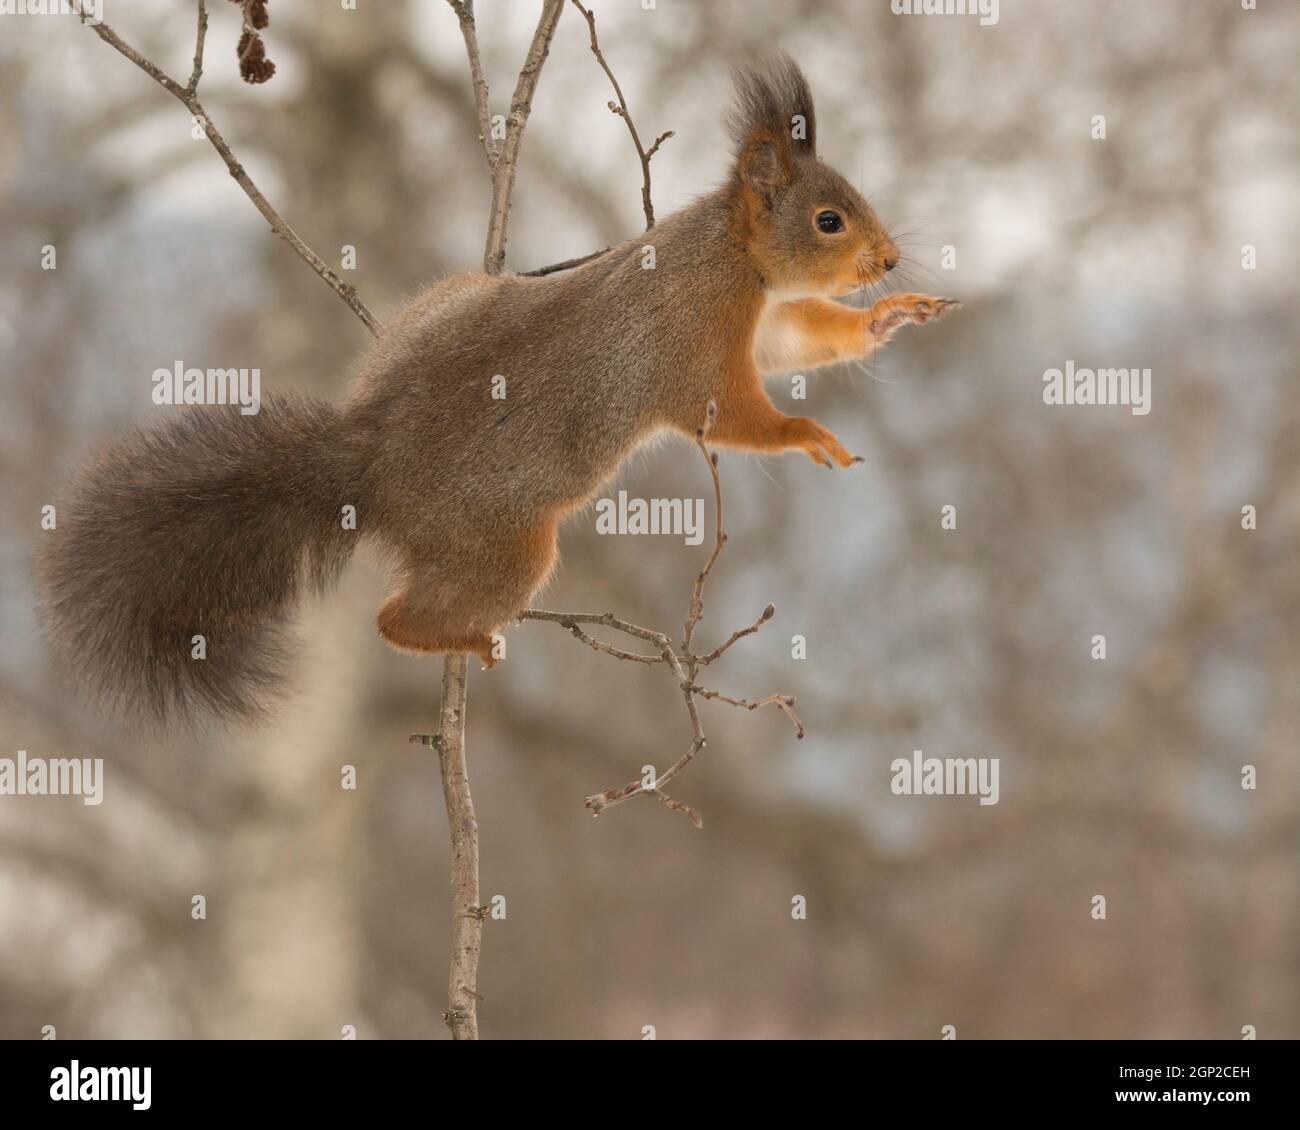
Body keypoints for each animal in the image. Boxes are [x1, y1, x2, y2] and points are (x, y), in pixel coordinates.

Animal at [37, 54, 957, 725]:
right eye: (828, 220)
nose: (888, 261)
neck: (730, 254)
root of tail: (369, 465)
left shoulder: (762, 320)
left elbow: (803, 338)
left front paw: (891, 318)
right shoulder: (694, 337)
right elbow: (732, 410)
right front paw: (808, 434)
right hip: (506, 546)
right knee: (395, 619)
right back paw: (464, 641)